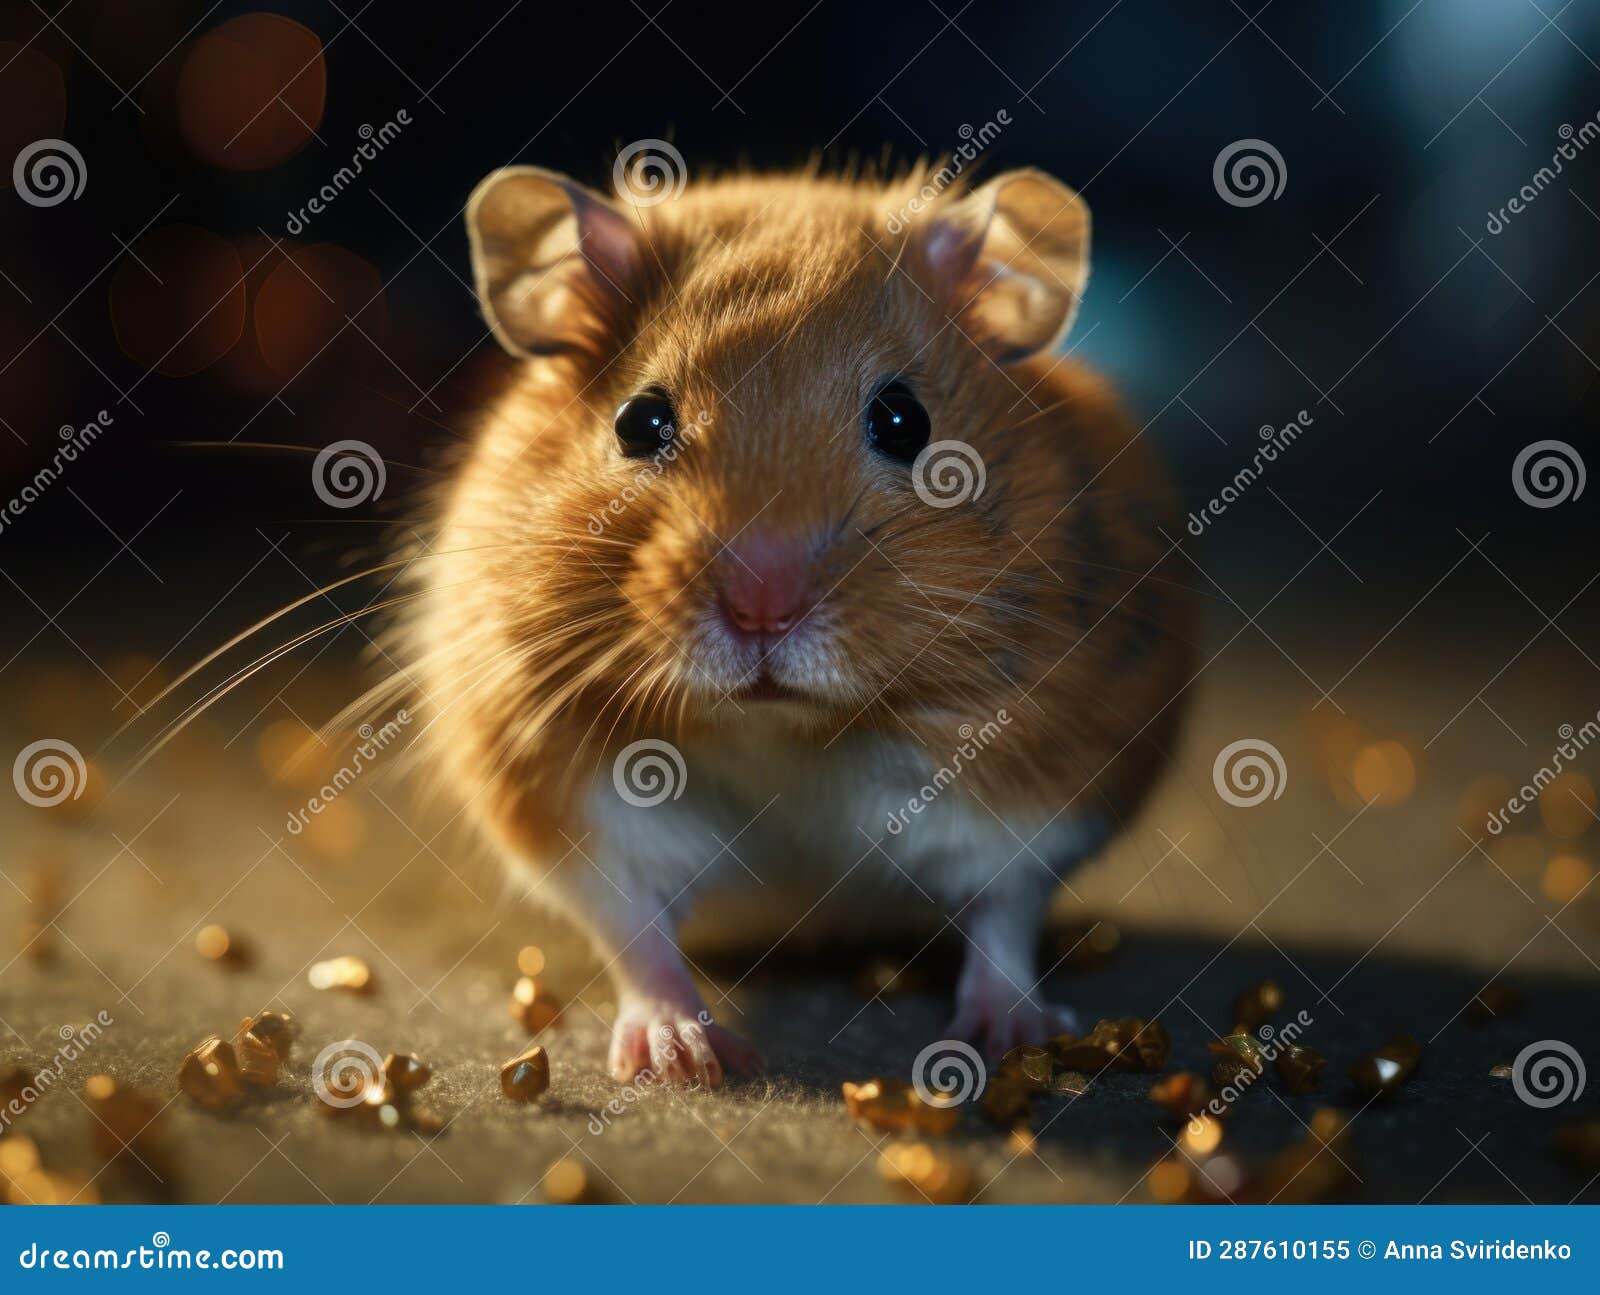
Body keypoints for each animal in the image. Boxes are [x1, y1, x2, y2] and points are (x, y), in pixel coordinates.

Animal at [400, 163, 1192, 1087]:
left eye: (904, 420)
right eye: (639, 422)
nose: (761, 608)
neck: (790, 730)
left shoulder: (1040, 788)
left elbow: (1004, 912)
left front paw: (1014, 1038)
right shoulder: (570, 797)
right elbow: (635, 930)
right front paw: (685, 1057)